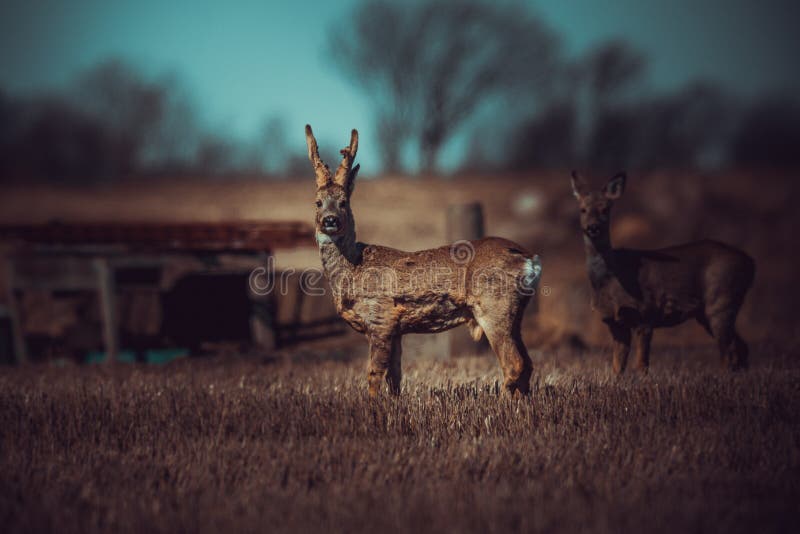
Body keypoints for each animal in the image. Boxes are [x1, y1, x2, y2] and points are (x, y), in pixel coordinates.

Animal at [304, 125, 542, 397]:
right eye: (318, 202)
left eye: (343, 202)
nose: (330, 220)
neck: (353, 268)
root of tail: (529, 258)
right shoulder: (396, 330)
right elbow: (394, 379)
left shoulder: (380, 318)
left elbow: (374, 375)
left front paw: (370, 405)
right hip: (516, 312)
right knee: (527, 365)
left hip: (494, 306)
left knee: (514, 364)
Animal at [570, 171, 755, 374]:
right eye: (582, 209)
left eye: (605, 209)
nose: (593, 227)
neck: (612, 278)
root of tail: (750, 262)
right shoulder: (614, 322)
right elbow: (617, 367)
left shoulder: (645, 314)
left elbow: (641, 365)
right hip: (707, 311)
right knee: (740, 347)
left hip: (721, 301)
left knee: (728, 352)